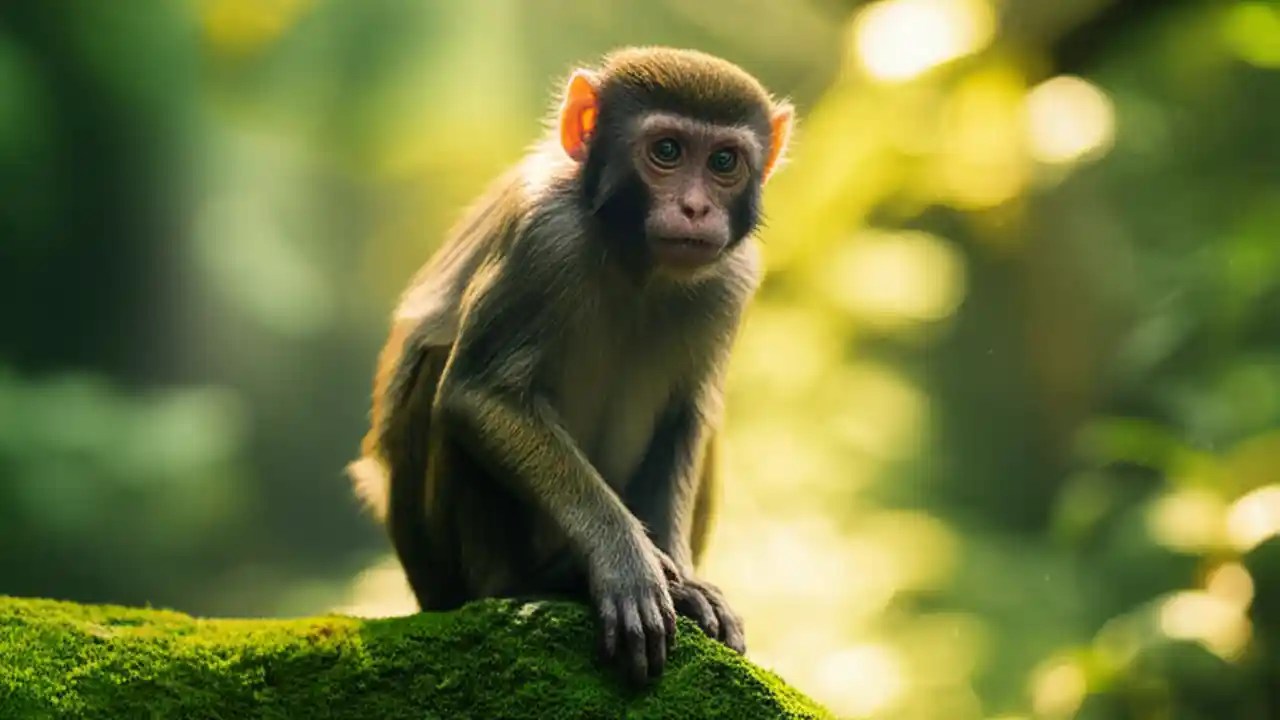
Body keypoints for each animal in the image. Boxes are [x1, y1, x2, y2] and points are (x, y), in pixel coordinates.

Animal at [347, 46, 794, 685]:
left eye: (724, 162)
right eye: (666, 151)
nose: (696, 207)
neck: (634, 261)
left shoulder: (731, 278)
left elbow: (688, 418)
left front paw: (686, 581)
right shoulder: (545, 238)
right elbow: (479, 397)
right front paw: (626, 562)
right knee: (440, 370)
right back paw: (534, 582)